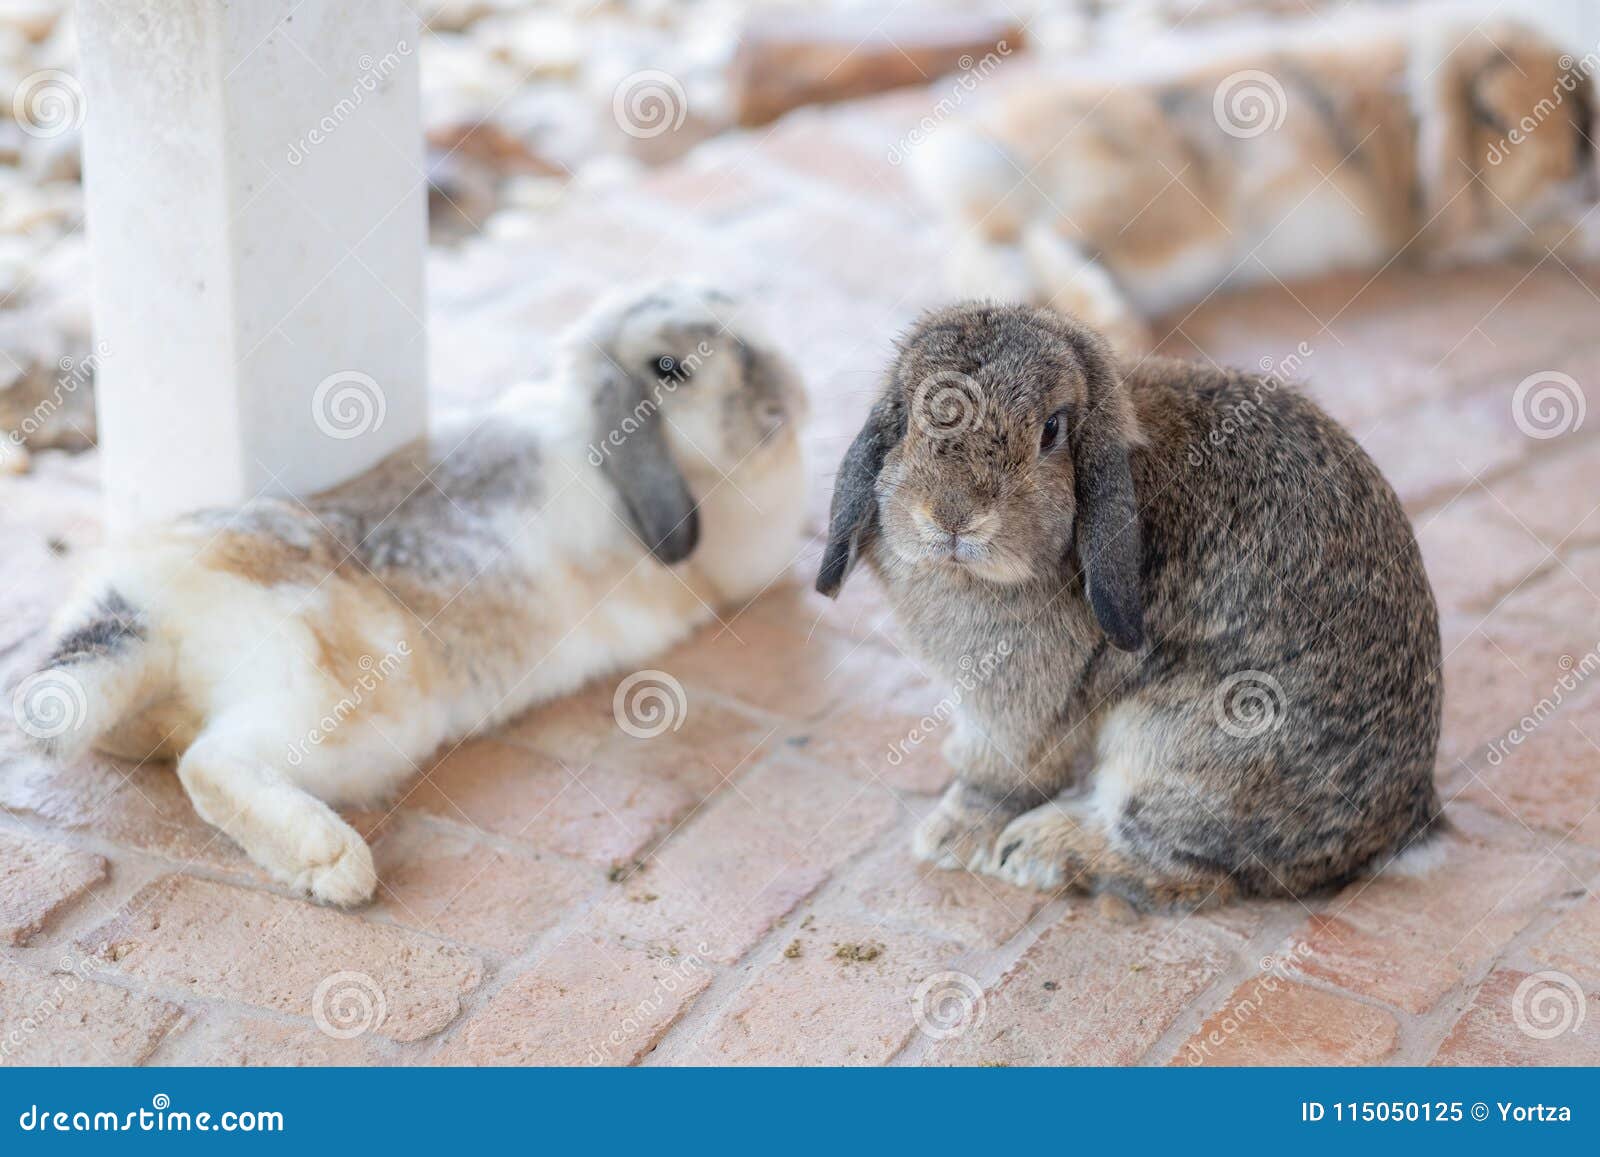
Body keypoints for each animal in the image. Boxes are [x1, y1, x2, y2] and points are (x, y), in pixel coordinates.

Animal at [12, 282, 809, 906]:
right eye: (675, 368)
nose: (791, 398)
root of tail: (150, 612)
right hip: (336, 706)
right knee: (212, 764)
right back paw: (337, 866)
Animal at [816, 302, 1444, 910]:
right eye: (905, 417)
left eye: (1052, 430)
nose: (952, 515)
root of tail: (1389, 829)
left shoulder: (1016, 699)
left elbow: (998, 774)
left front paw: (949, 837)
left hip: (1175, 748)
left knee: (1186, 873)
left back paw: (1040, 847)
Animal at [911, 18, 1599, 354]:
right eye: (1579, 123)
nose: (1587, 174)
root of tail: (992, 140)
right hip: (1180, 223)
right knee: (1046, 237)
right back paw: (1119, 328)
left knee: (1005, 256)